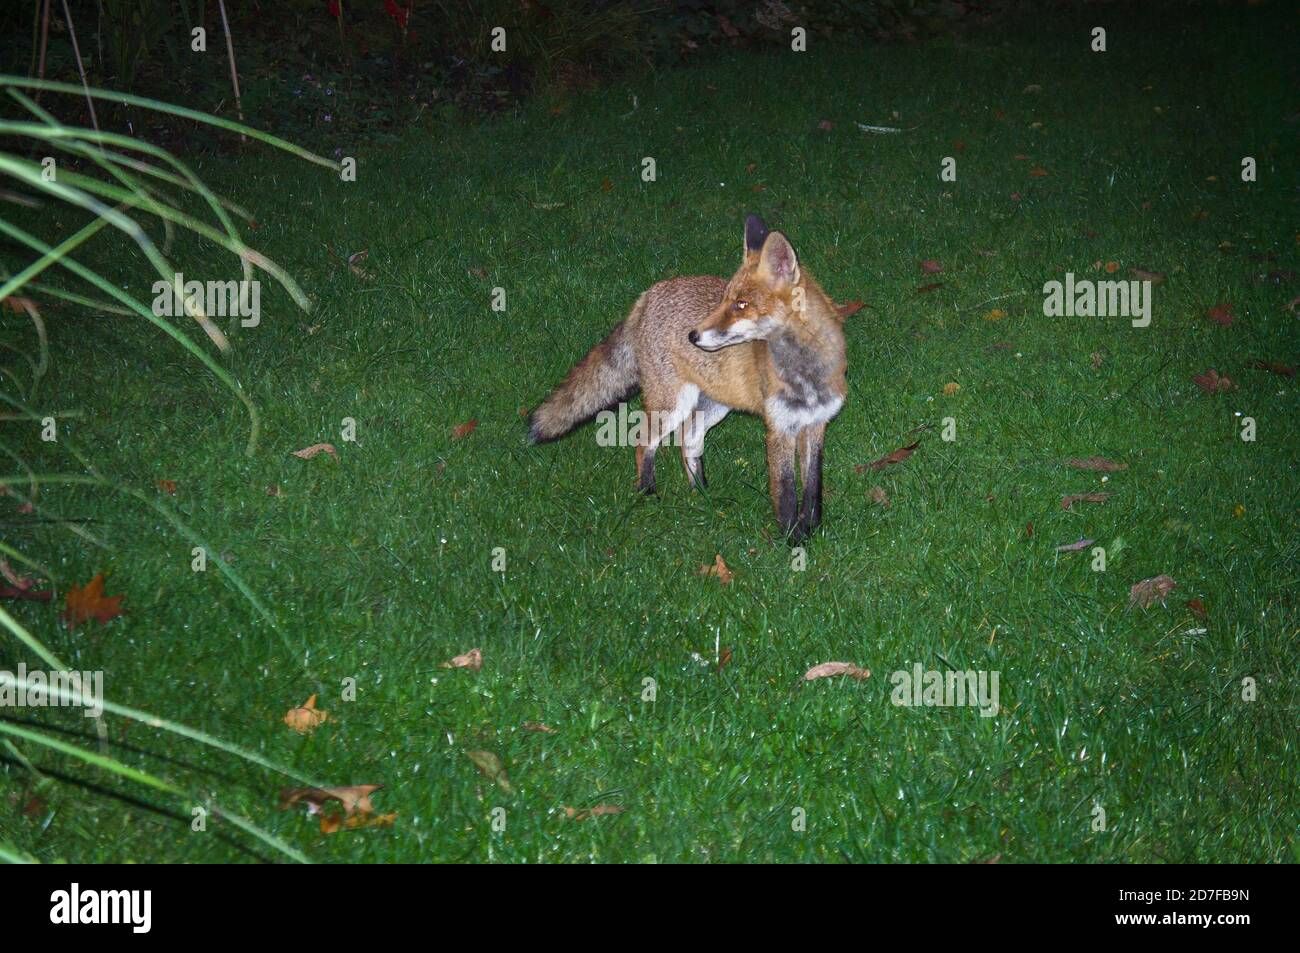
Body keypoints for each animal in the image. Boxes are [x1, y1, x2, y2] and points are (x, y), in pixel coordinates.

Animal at [528, 214, 847, 543]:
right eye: (725, 300)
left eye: (741, 304)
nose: (693, 336)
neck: (807, 376)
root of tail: (650, 293)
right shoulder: (779, 428)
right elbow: (785, 492)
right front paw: (792, 539)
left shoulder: (816, 425)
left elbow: (812, 488)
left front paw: (813, 529)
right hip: (672, 405)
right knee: (644, 440)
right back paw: (647, 493)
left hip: (715, 405)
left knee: (688, 439)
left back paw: (702, 494)